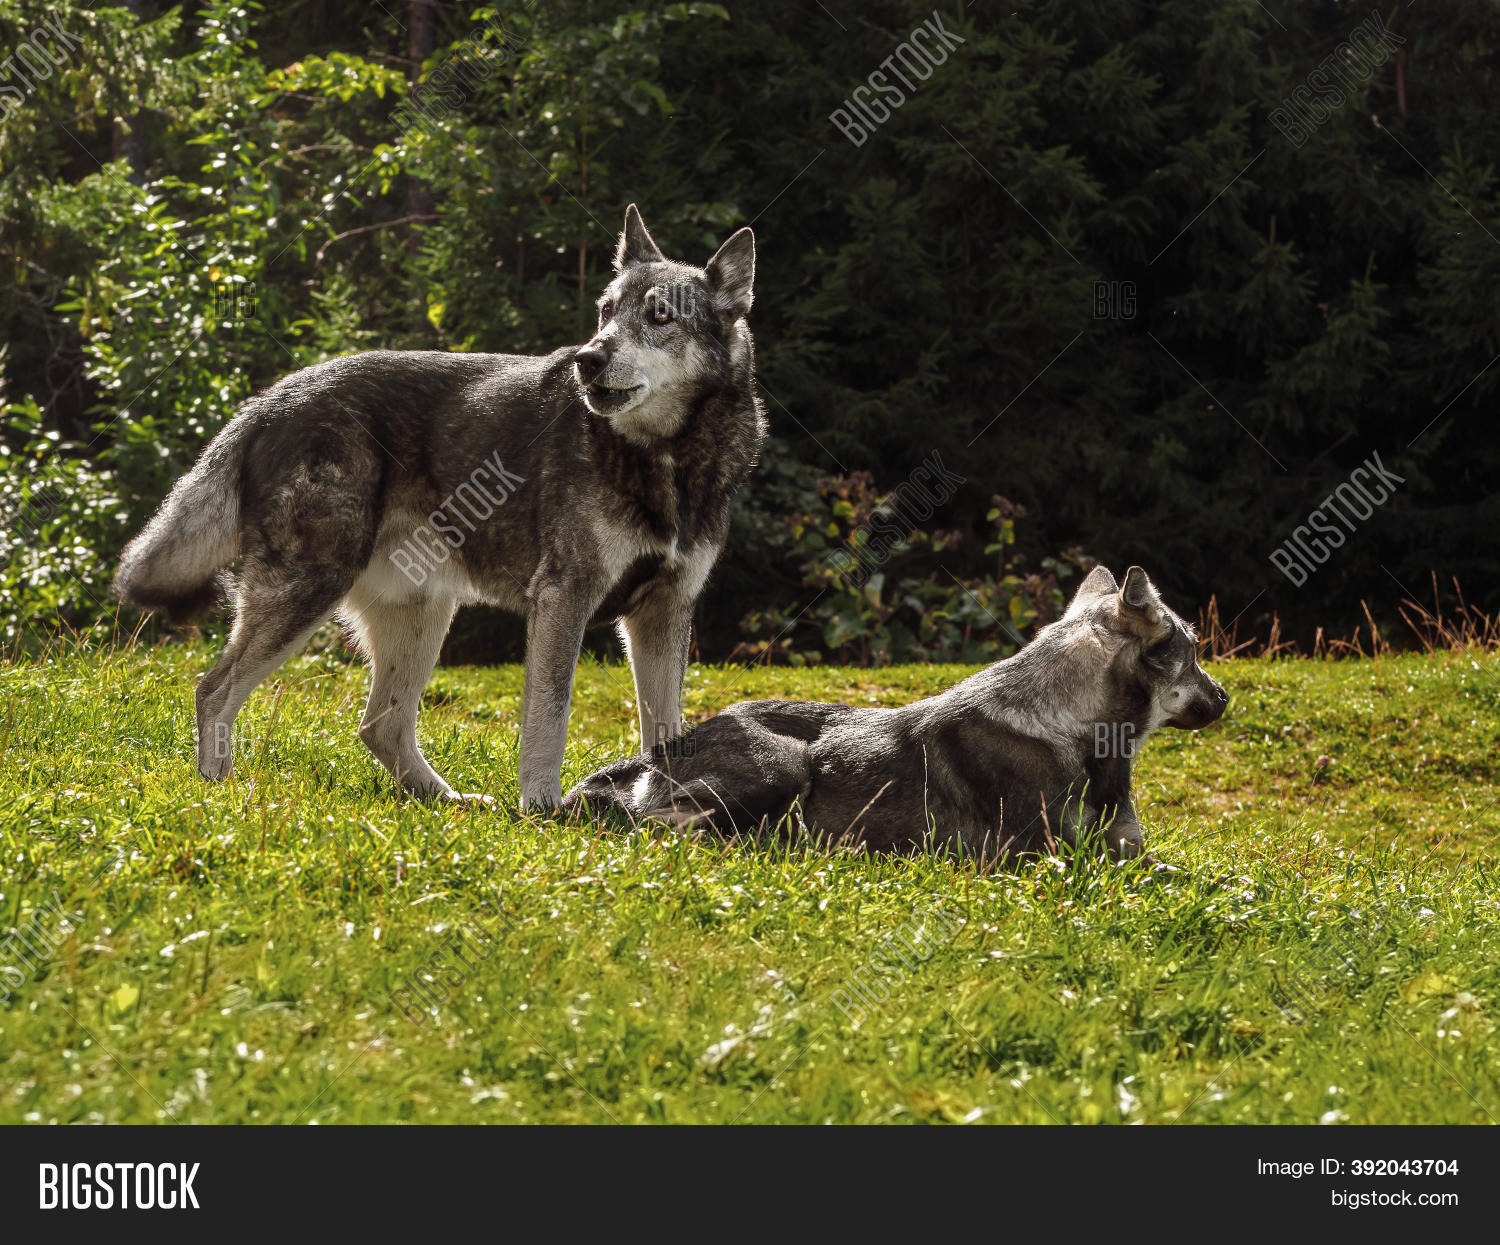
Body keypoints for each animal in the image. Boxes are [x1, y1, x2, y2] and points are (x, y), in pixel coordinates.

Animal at [115, 206, 765, 808]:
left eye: (660, 316)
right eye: (607, 311)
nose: (589, 359)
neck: (666, 459)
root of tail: (270, 399)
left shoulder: (664, 612)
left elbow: (666, 736)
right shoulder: (564, 599)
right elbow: (549, 719)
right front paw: (542, 810)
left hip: (422, 612)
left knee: (379, 726)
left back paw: (444, 801)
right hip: (309, 592)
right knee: (214, 690)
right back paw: (217, 793)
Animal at [564, 565, 1228, 863]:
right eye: (1195, 650)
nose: (1225, 697)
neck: (1070, 726)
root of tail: (655, 754)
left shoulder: (1123, 850)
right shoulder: (1058, 859)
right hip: (786, 765)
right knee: (665, 826)